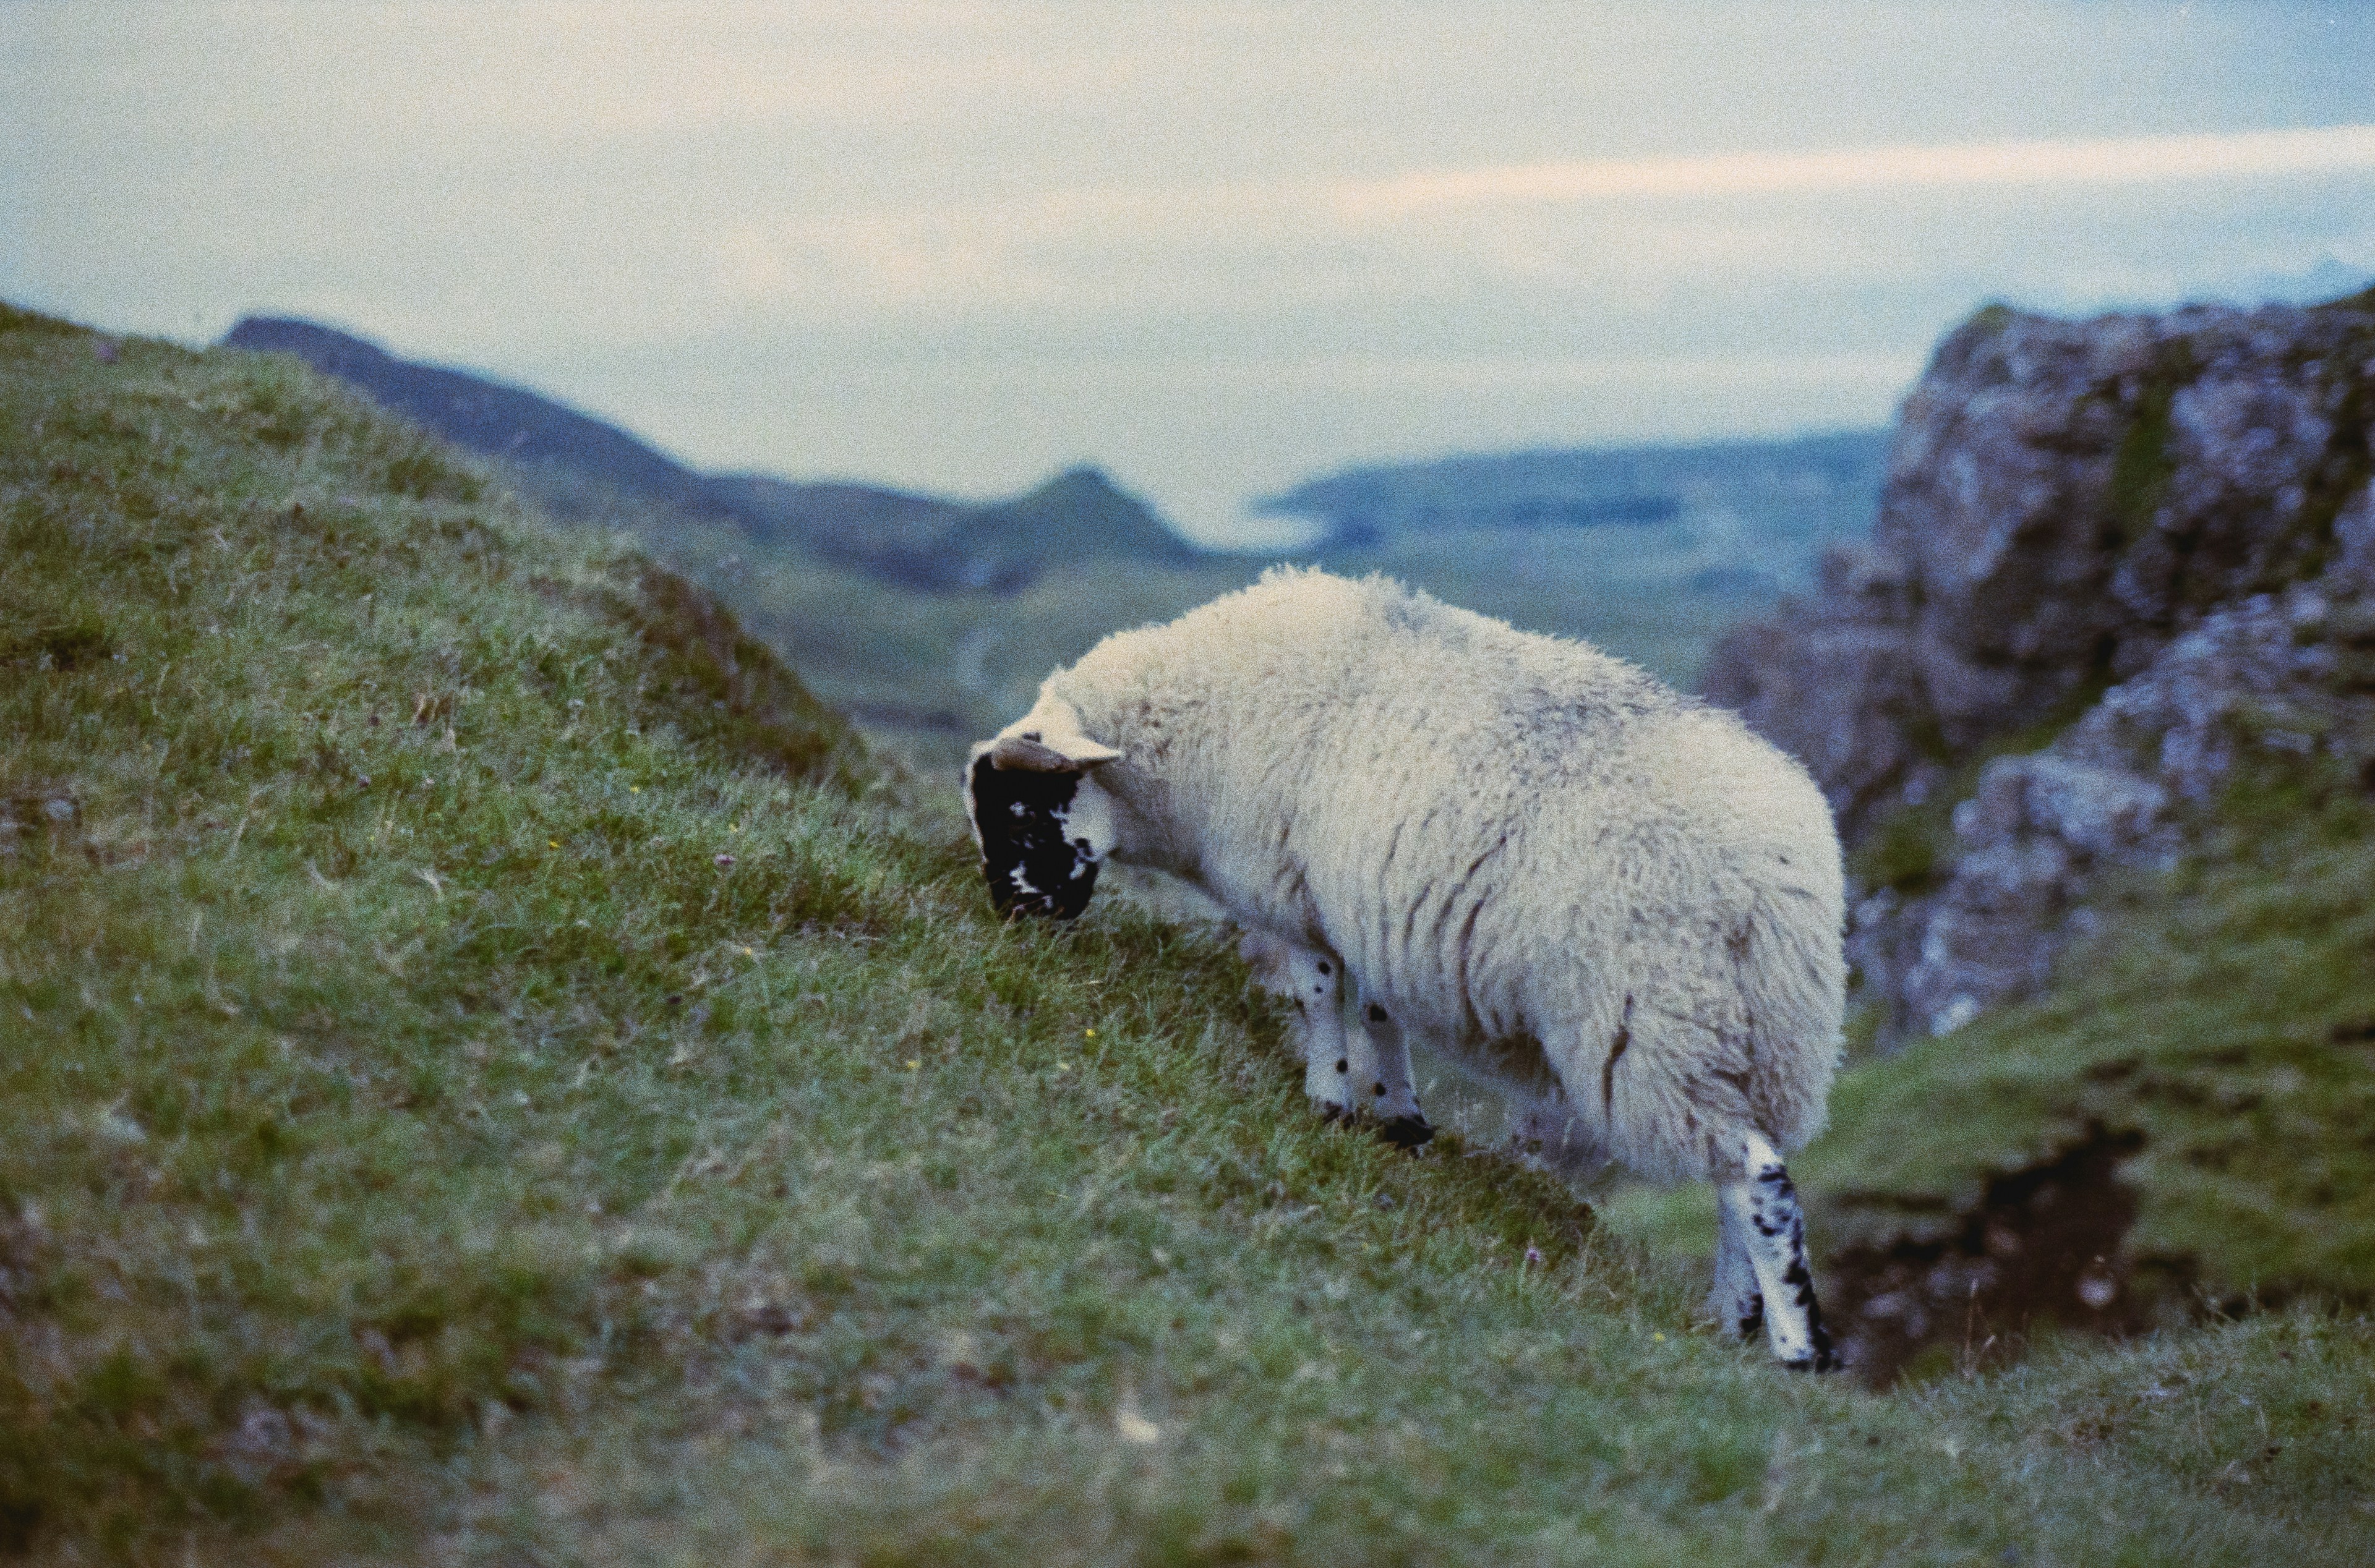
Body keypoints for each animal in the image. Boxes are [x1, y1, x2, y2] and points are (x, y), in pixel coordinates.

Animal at [964, 567, 1845, 1370]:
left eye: (1021, 813)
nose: (1015, 920)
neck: (1181, 739)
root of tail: (1784, 879)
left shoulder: (1293, 886)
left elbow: (1321, 996)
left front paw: (1328, 1100)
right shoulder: (1373, 909)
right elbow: (1381, 1012)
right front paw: (1400, 1118)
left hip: (1653, 1024)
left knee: (1757, 1176)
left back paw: (1797, 1349)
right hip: (1748, 1038)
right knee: (1736, 1175)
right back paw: (1728, 1315)